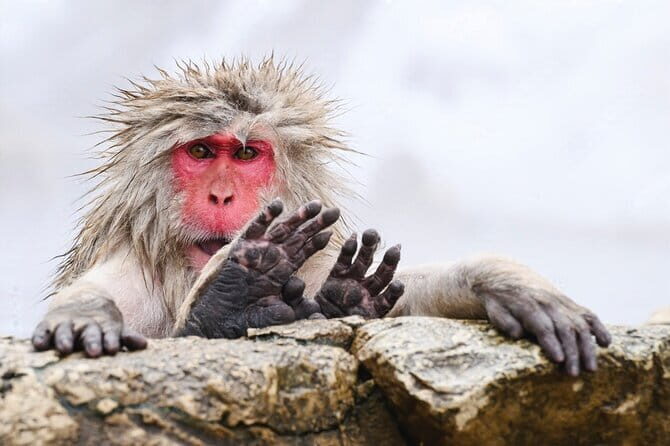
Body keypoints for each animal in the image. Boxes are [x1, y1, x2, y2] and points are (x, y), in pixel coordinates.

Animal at [31, 57, 611, 376]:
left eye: (246, 155)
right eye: (200, 153)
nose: (221, 195)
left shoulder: (308, 261)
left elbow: (410, 300)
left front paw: (502, 282)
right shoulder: (133, 270)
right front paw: (86, 317)